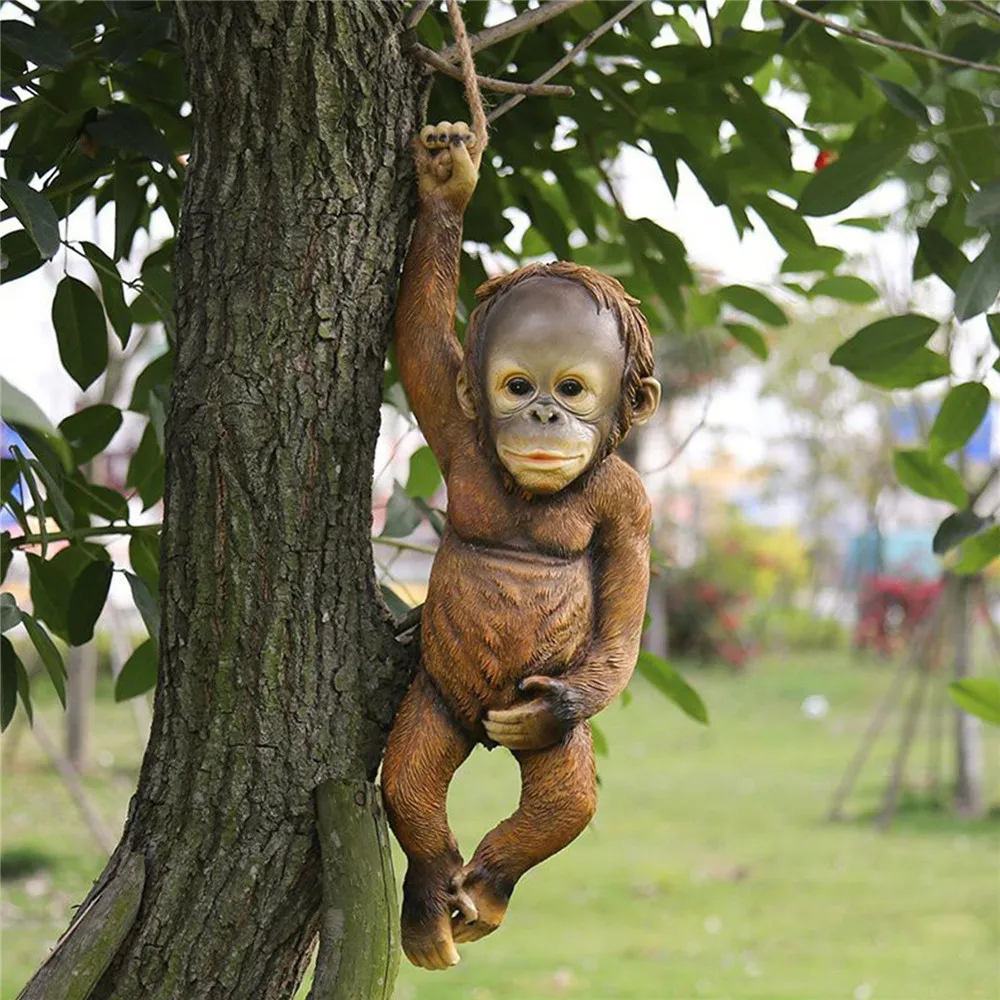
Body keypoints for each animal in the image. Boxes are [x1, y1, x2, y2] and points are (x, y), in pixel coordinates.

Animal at [381, 121, 661, 971]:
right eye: (515, 385)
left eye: (570, 388)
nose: (542, 415)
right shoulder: (455, 431)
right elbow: (419, 342)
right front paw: (448, 181)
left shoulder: (631, 504)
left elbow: (624, 622)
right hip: (439, 698)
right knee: (408, 780)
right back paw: (433, 904)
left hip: (525, 723)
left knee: (566, 798)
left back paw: (487, 890)